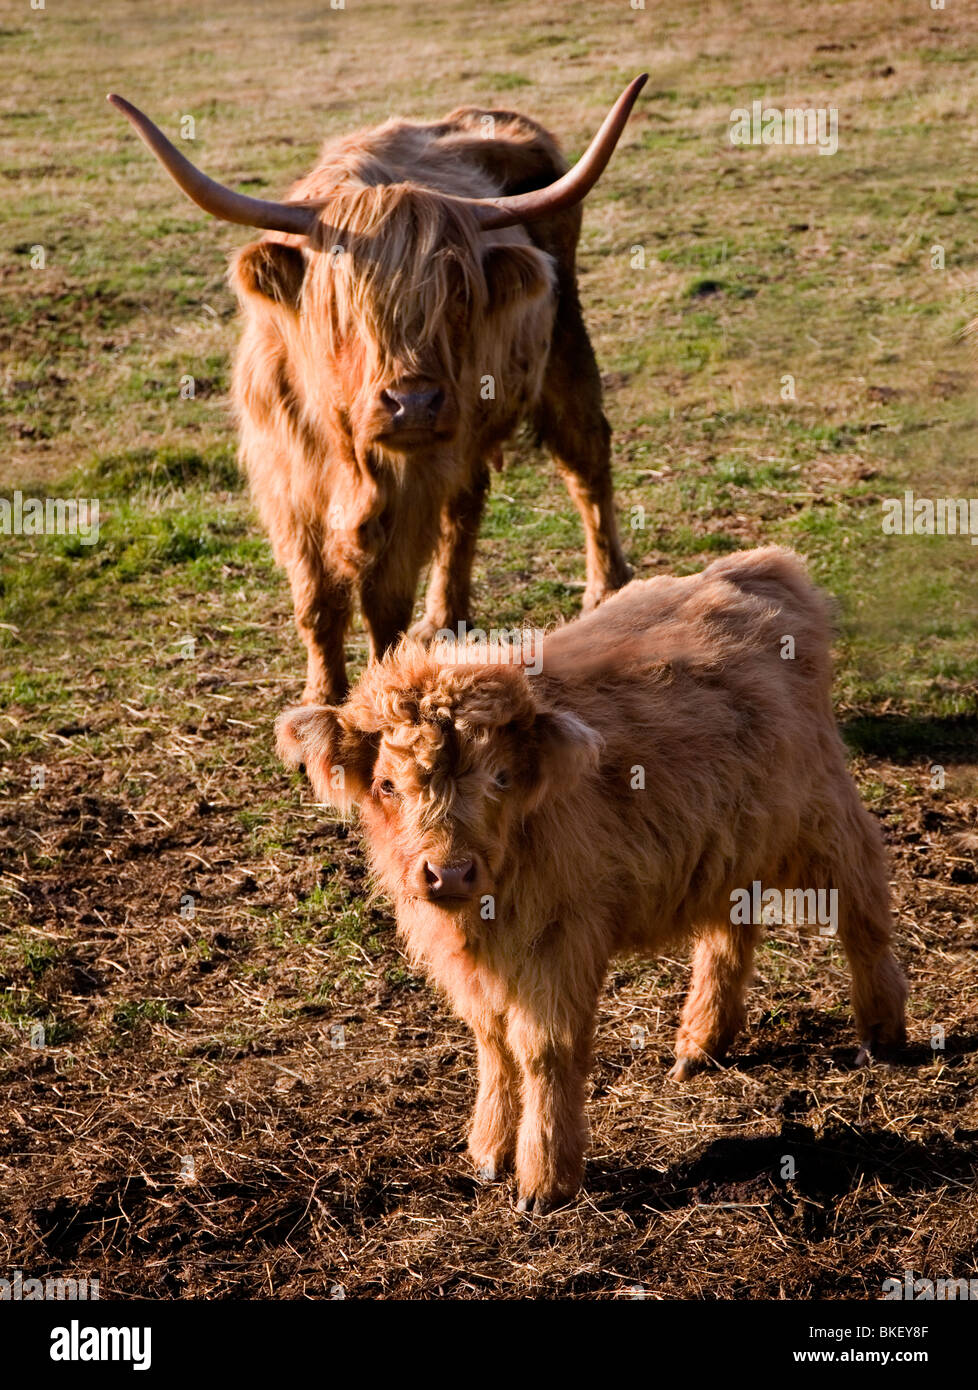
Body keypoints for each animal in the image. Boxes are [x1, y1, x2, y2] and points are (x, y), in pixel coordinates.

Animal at [108, 78, 646, 703]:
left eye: (458, 290)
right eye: (343, 299)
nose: (413, 405)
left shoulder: (409, 480)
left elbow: (384, 603)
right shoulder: (288, 481)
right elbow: (317, 601)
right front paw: (320, 697)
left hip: (562, 352)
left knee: (585, 462)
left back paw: (605, 590)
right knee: (466, 505)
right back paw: (445, 619)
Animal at [276, 546, 908, 1213]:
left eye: (501, 778)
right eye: (387, 784)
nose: (449, 871)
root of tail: (756, 567)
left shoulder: (561, 939)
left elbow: (543, 1050)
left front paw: (545, 1179)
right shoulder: (468, 962)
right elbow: (493, 1042)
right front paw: (488, 1153)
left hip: (823, 816)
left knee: (864, 909)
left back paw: (880, 1033)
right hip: (724, 837)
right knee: (727, 928)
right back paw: (701, 1042)